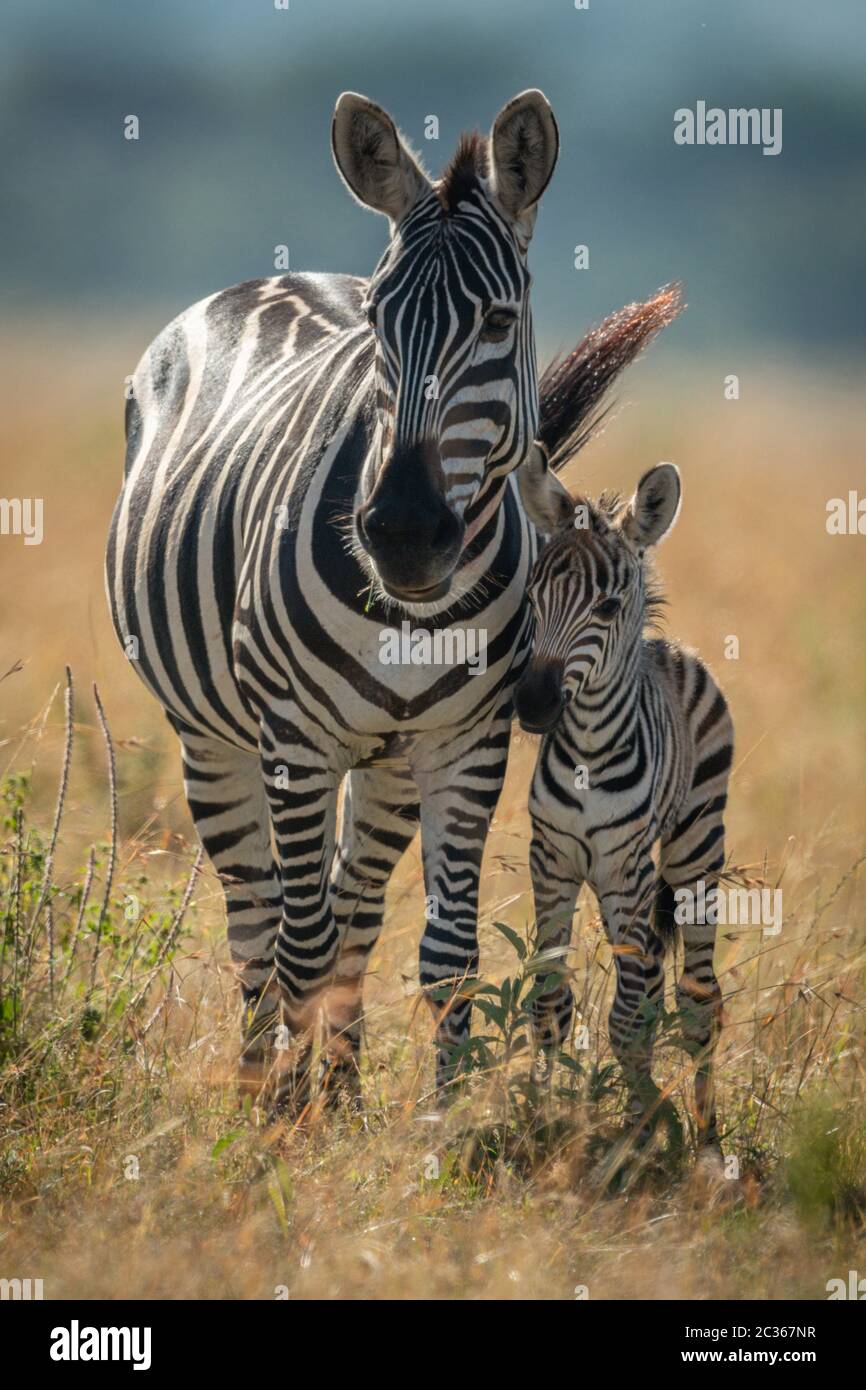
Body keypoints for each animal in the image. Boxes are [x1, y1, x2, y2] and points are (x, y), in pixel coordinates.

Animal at [106, 85, 680, 1108]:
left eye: (499, 320)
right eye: (379, 319)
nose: (405, 532)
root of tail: (268, 281)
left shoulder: (468, 744)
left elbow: (446, 956)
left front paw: (437, 1122)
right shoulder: (294, 738)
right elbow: (296, 946)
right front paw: (283, 1124)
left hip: (384, 763)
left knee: (355, 908)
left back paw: (339, 1088)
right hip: (213, 738)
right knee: (260, 922)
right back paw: (260, 1087)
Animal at [514, 462, 733, 1147]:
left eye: (607, 606)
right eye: (531, 594)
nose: (532, 705)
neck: (588, 748)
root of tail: (666, 650)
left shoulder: (628, 872)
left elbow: (629, 1019)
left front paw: (640, 1136)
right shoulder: (552, 862)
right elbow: (549, 1002)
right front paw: (541, 1116)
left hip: (693, 850)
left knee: (697, 1000)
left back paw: (707, 1139)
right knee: (656, 985)